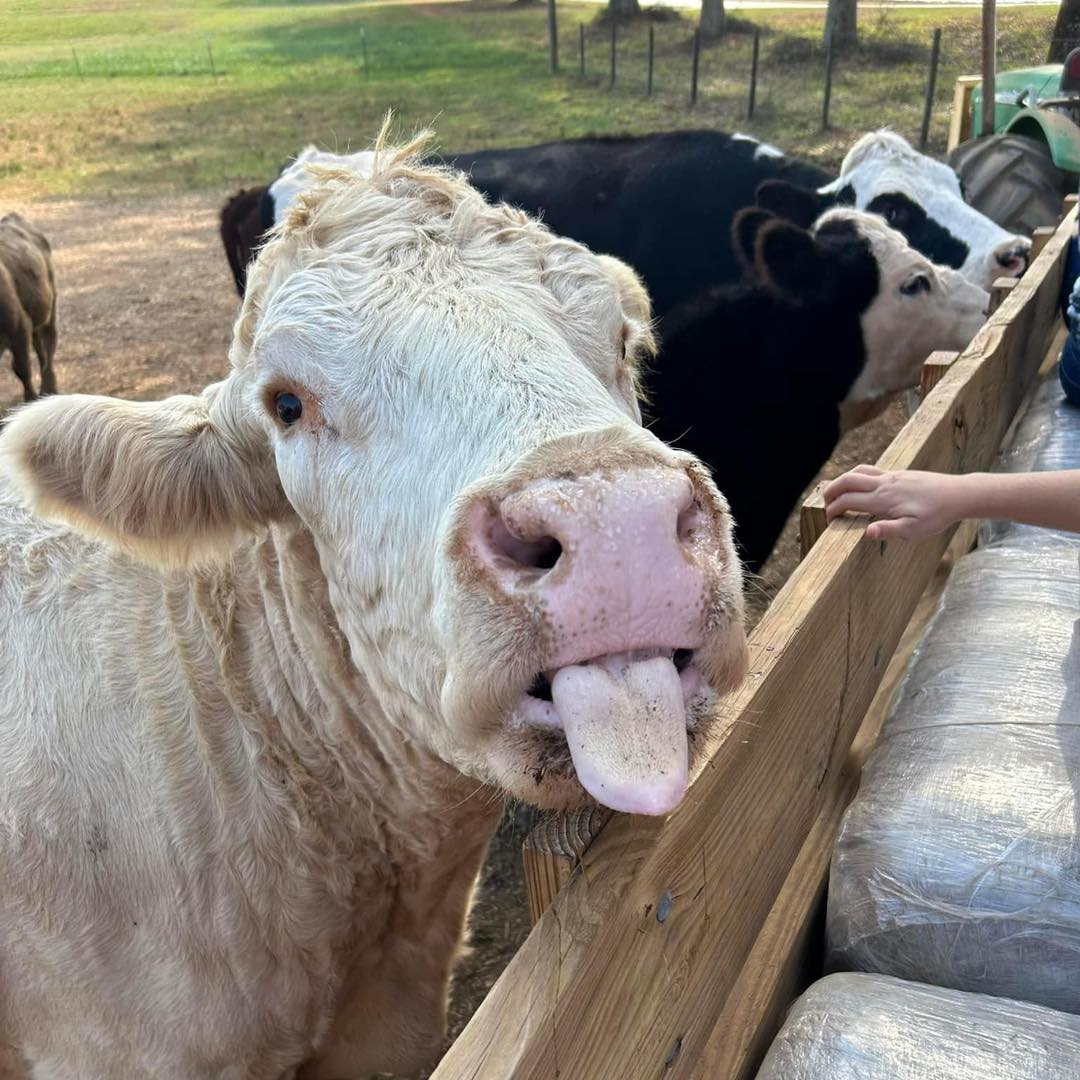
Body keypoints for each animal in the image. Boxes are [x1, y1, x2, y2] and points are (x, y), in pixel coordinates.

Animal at [0, 213, 58, 402]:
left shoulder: (19, 327)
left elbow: (21, 369)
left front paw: (30, 399)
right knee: (41, 350)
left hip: (50, 308)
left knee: (49, 344)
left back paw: (49, 388)